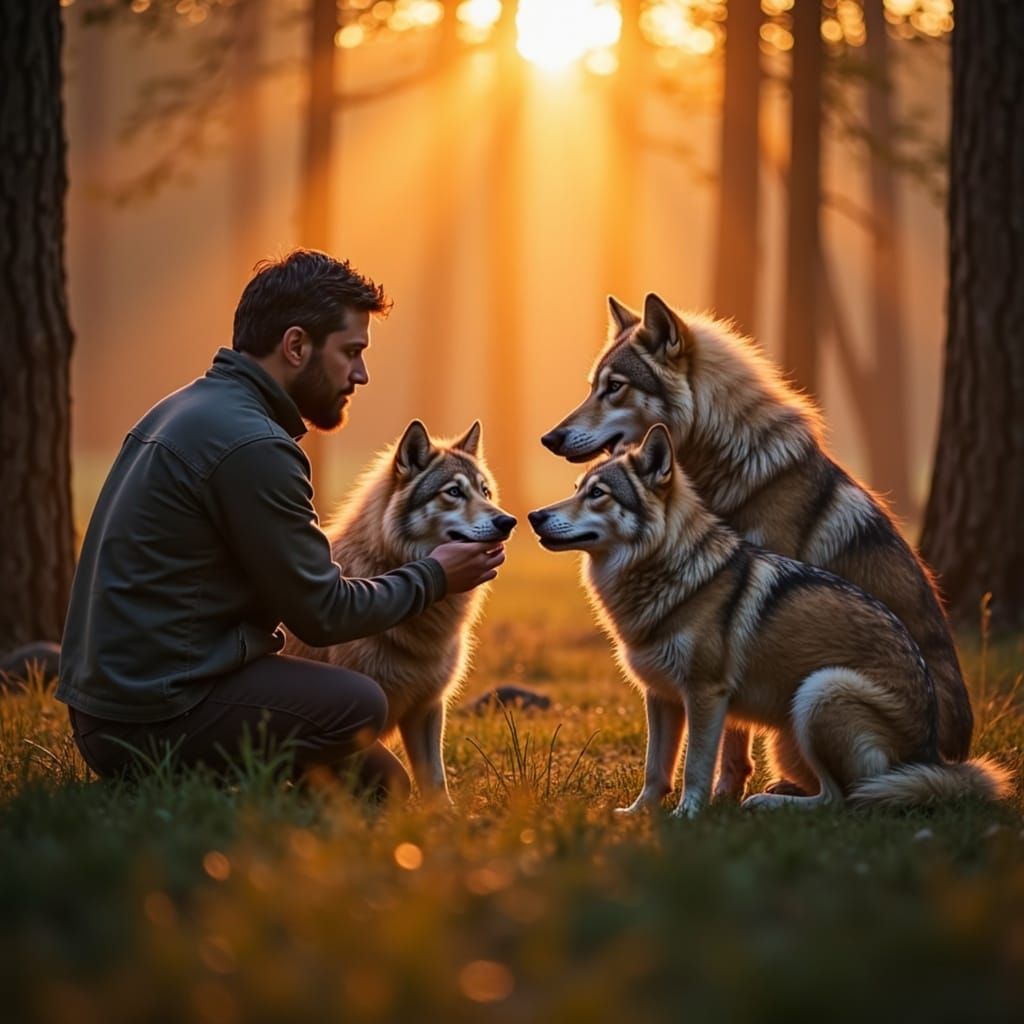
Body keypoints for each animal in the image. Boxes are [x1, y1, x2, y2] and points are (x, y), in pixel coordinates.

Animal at [528, 425, 1009, 816]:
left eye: (598, 494)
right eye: (577, 488)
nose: (534, 516)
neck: (669, 574)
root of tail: (932, 755)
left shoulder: (706, 695)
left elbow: (695, 768)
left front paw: (687, 817)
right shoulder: (660, 696)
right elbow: (655, 770)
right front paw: (636, 815)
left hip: (820, 692)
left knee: (845, 800)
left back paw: (767, 803)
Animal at [541, 294, 974, 798]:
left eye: (615, 387)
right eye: (592, 386)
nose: (549, 438)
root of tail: (946, 756)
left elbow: (725, 736)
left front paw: (719, 796)